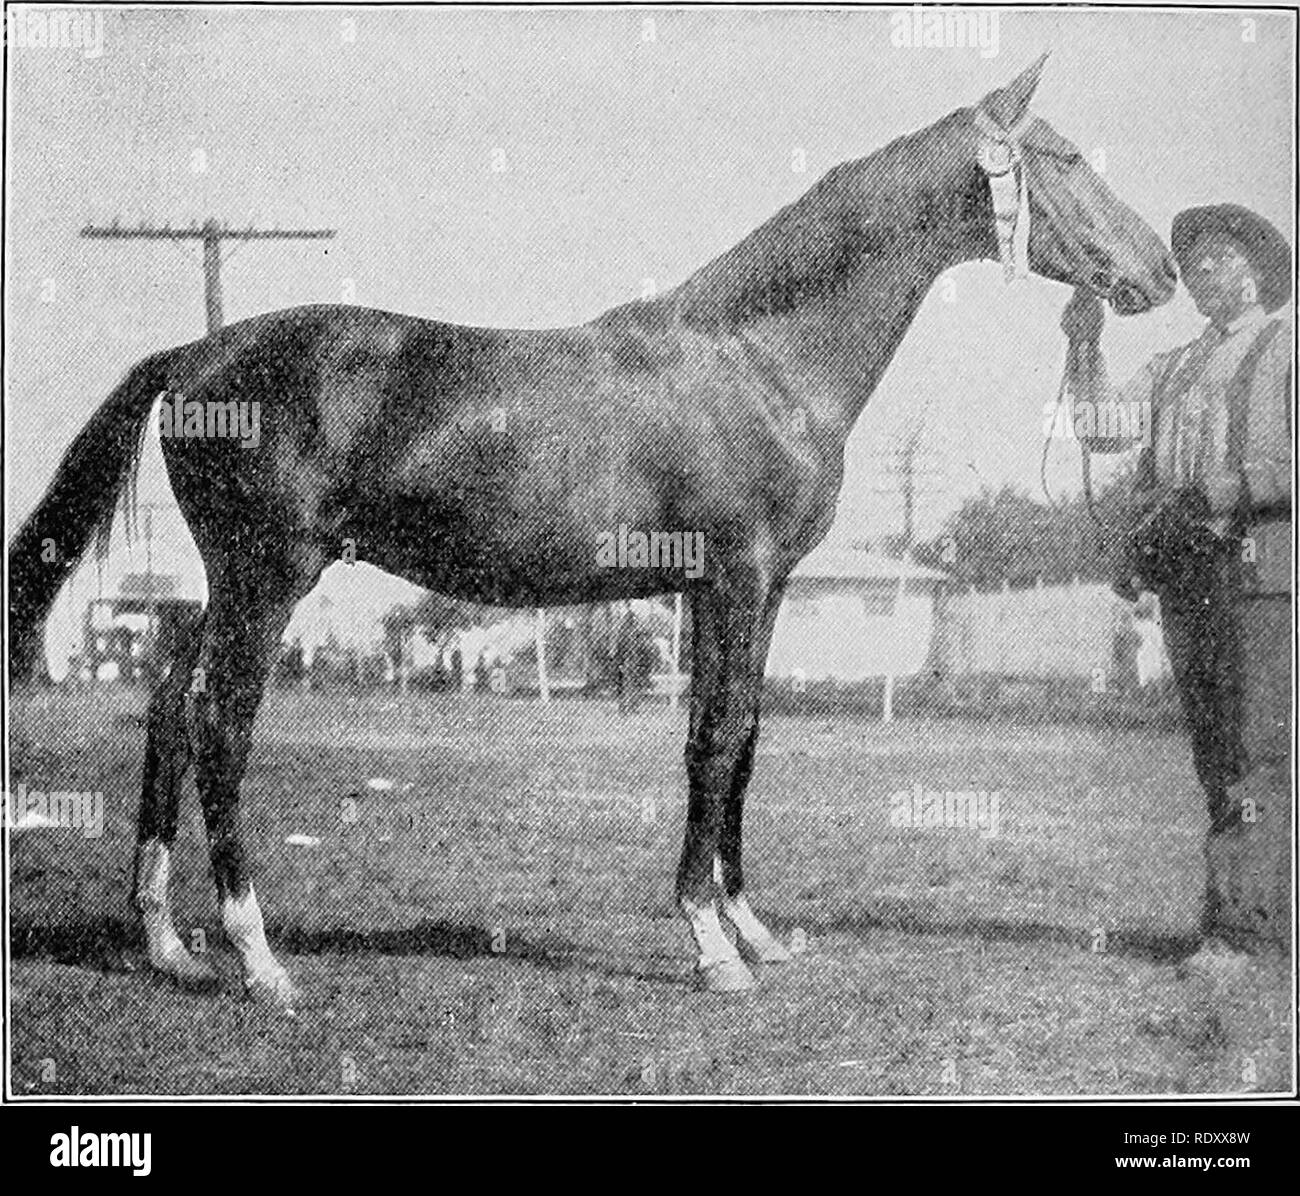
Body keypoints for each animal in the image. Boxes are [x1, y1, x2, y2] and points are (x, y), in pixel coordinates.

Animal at [7, 56, 1177, 1005]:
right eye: (1066, 156)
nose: (1157, 271)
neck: (758, 360)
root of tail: (193, 356)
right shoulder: (734, 577)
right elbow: (713, 739)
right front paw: (711, 945)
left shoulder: (761, 589)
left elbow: (744, 737)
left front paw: (752, 926)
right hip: (267, 579)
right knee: (221, 728)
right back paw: (258, 959)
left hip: (225, 586)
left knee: (168, 707)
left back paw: (167, 944)